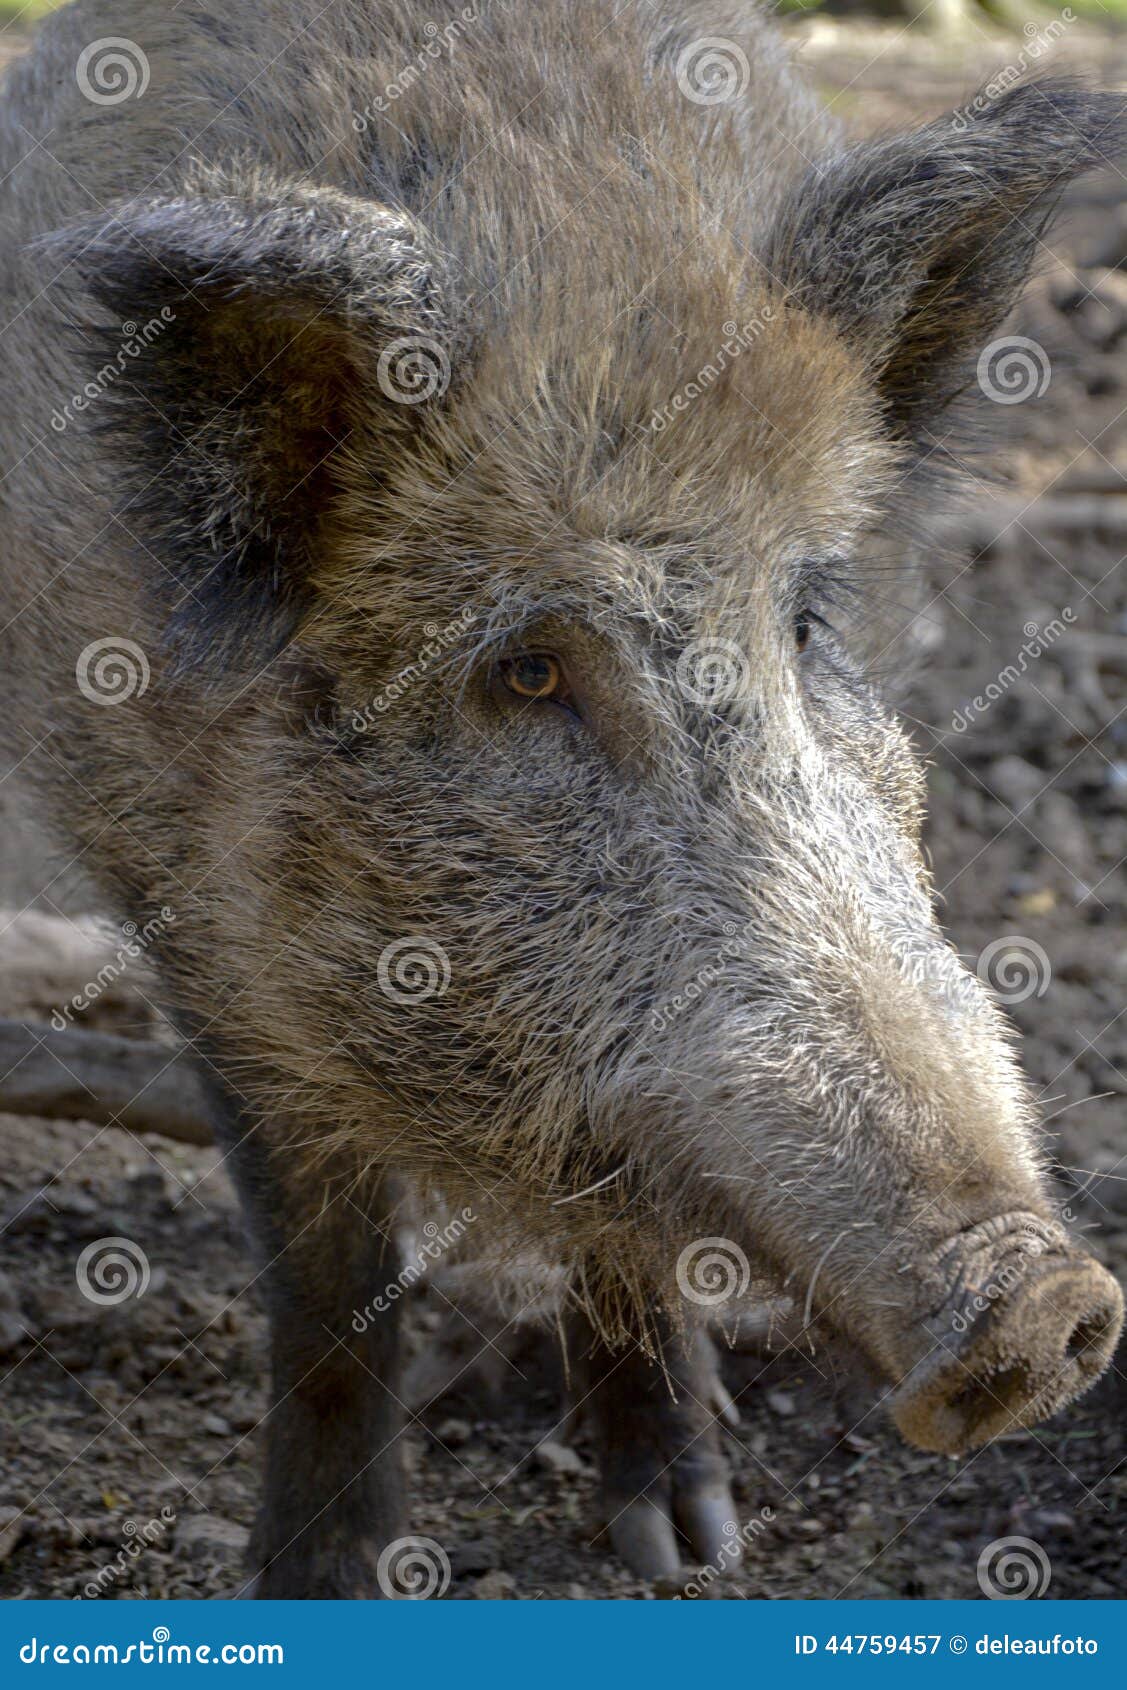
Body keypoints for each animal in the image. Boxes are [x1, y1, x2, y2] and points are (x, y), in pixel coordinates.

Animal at [0, 0, 1123, 1597]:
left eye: (804, 620)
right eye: (526, 671)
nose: (1041, 1305)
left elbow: (624, 1223)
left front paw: (687, 1551)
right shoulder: (180, 923)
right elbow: (324, 1267)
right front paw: (319, 1579)